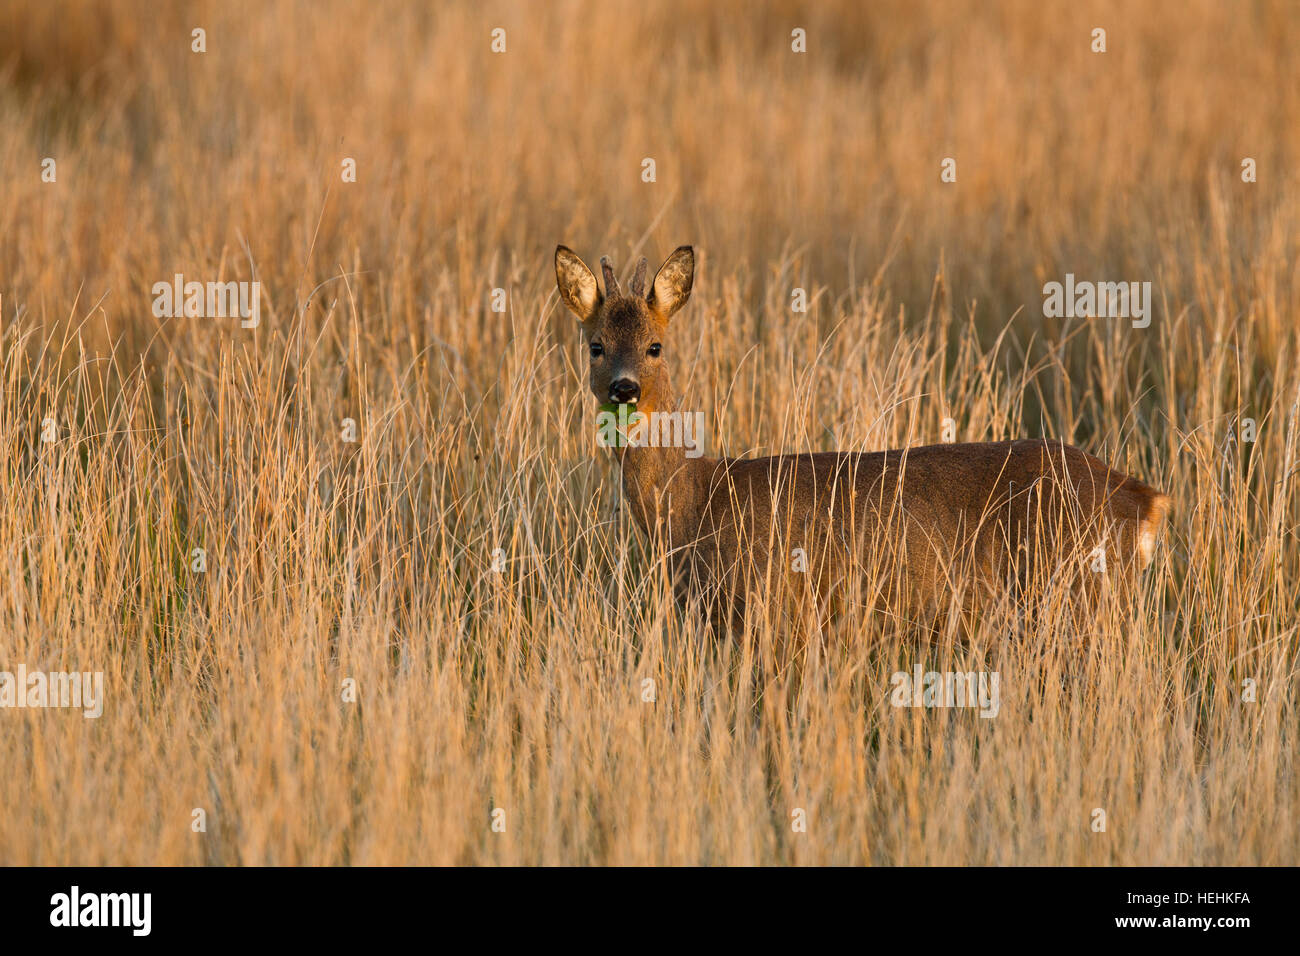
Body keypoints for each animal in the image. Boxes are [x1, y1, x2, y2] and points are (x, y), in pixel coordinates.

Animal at [555, 244, 1171, 637]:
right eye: (596, 345)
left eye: (655, 346)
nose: (625, 387)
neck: (695, 501)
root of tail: (1143, 498)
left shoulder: (776, 611)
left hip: (1077, 596)